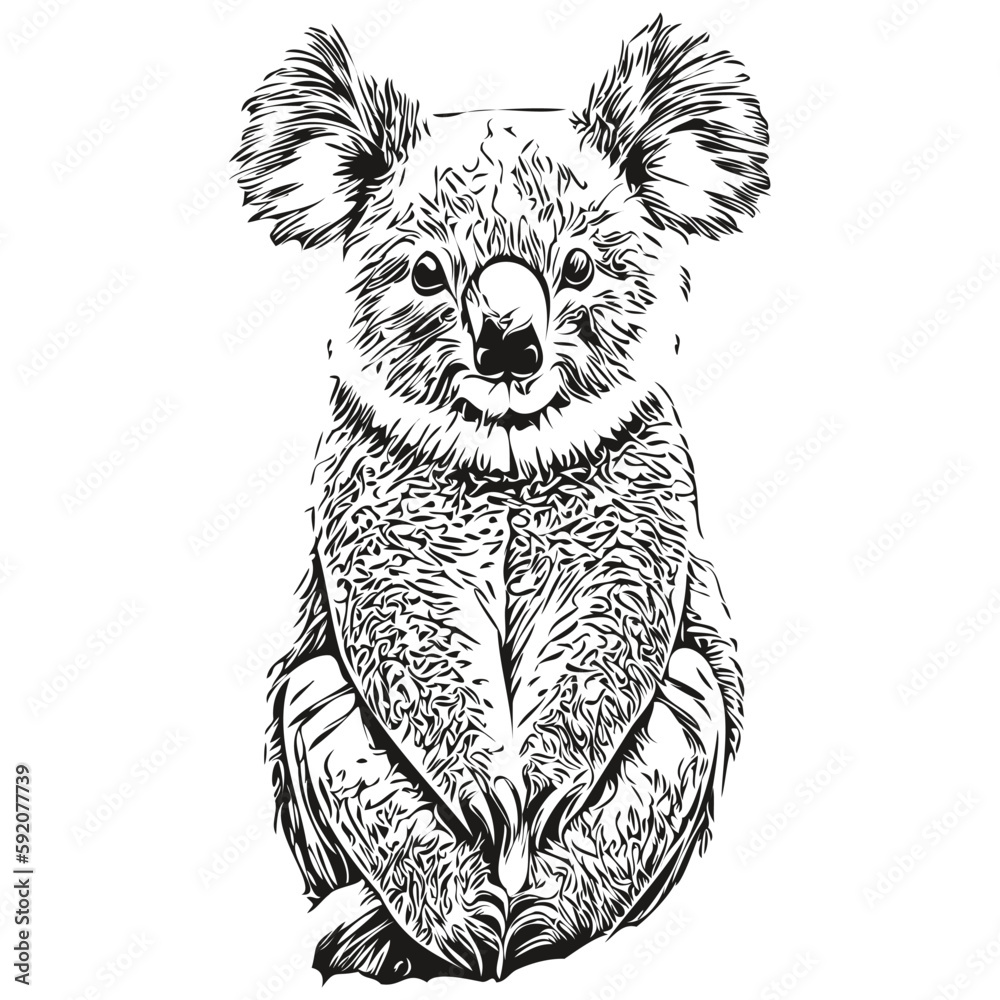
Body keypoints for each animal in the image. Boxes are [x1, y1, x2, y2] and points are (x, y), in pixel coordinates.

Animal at [232, 15, 768, 984]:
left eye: (580, 266)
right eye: (426, 273)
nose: (509, 345)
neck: (509, 464)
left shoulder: (640, 501)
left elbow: (611, 639)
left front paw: (542, 791)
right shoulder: (378, 512)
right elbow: (411, 643)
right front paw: (487, 795)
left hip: (680, 740)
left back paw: (549, 914)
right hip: (325, 737)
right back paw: (425, 926)